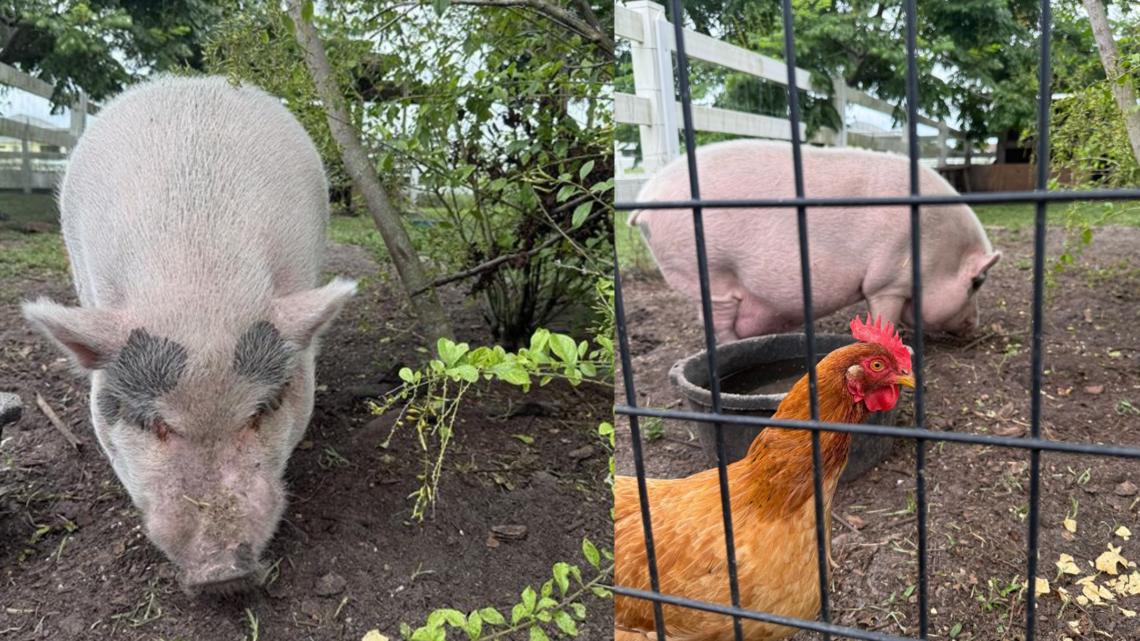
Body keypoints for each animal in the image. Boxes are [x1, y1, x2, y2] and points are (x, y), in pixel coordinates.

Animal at [631, 139, 1001, 342]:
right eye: (977, 282)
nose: (976, 325)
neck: (936, 252)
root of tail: (645, 198)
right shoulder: (888, 280)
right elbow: (884, 316)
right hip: (710, 270)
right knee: (719, 320)